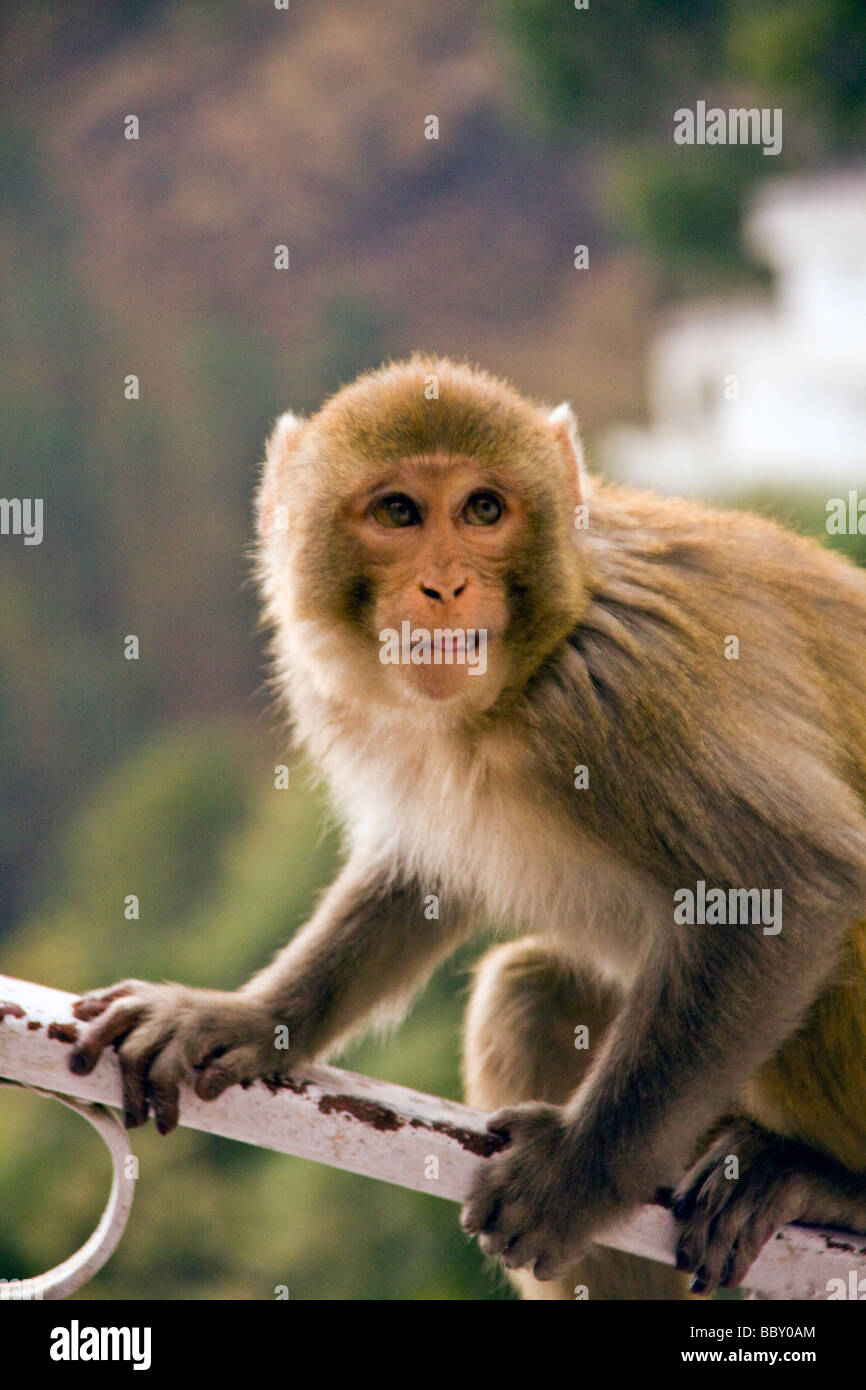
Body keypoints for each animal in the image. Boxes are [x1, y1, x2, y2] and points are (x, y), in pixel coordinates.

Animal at [68, 354, 866, 1300]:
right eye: (398, 512)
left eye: (484, 509)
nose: (445, 587)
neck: (531, 666)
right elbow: (421, 873)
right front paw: (245, 1018)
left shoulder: (622, 699)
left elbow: (783, 886)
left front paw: (579, 1173)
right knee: (526, 992)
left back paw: (828, 1182)